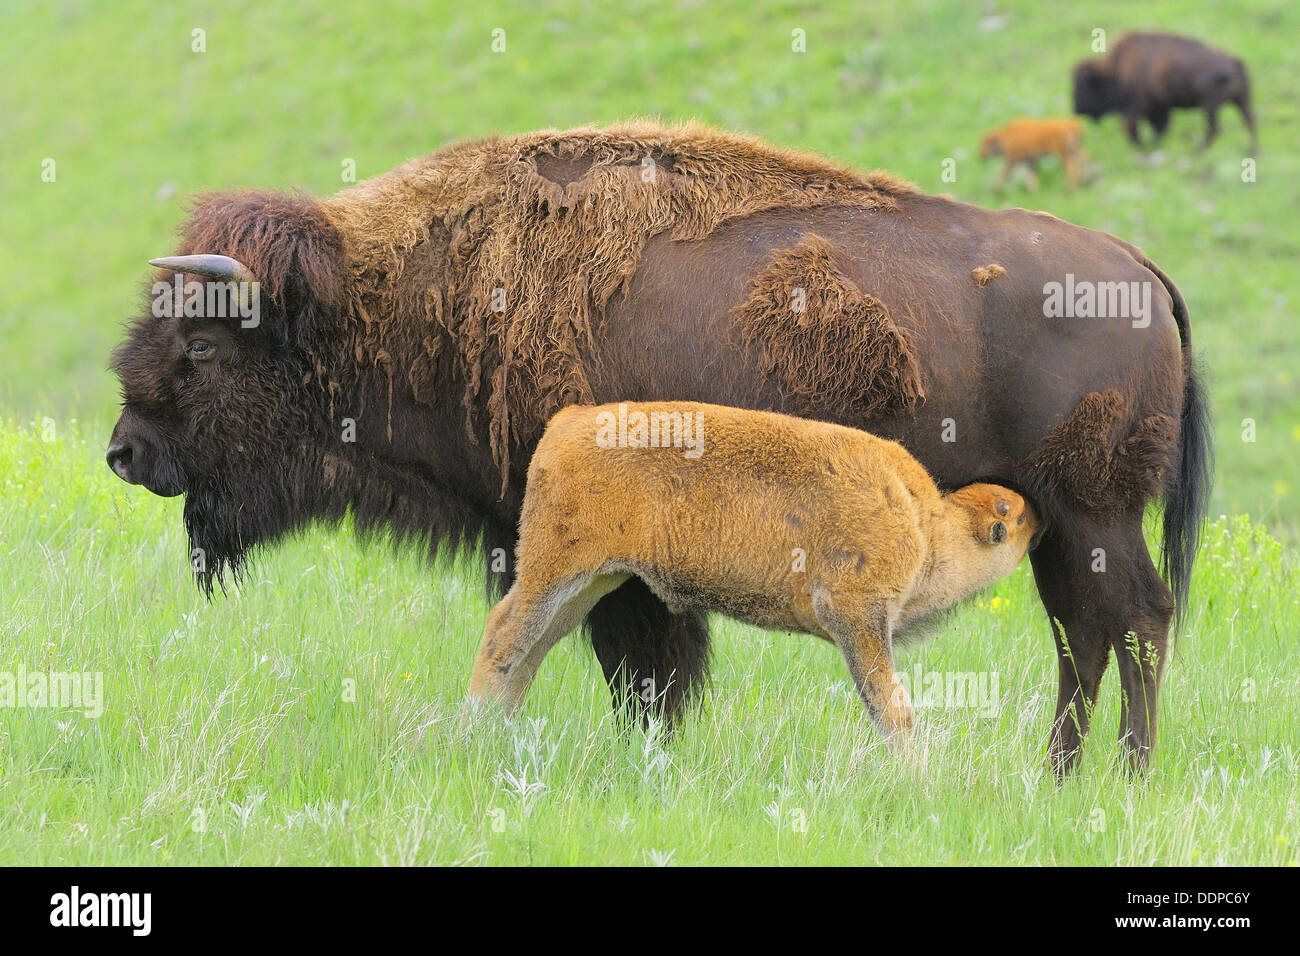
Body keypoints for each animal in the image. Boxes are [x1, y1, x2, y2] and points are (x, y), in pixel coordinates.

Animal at [108, 121, 1212, 779]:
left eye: (201, 343)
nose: (124, 451)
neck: (410, 295)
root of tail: (1140, 268)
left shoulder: (621, 564)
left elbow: (644, 670)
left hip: (1096, 513)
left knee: (1132, 620)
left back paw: (1122, 777)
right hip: (1059, 522)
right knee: (1083, 633)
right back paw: (1059, 775)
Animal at [1073, 32, 1257, 152]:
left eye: (1083, 86)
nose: (1077, 110)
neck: (1116, 69)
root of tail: (1234, 62)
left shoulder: (1139, 108)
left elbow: (1136, 128)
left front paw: (1143, 146)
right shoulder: (1159, 108)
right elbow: (1159, 128)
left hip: (1210, 105)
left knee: (1215, 128)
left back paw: (1198, 150)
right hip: (1241, 100)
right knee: (1249, 122)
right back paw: (1253, 151)